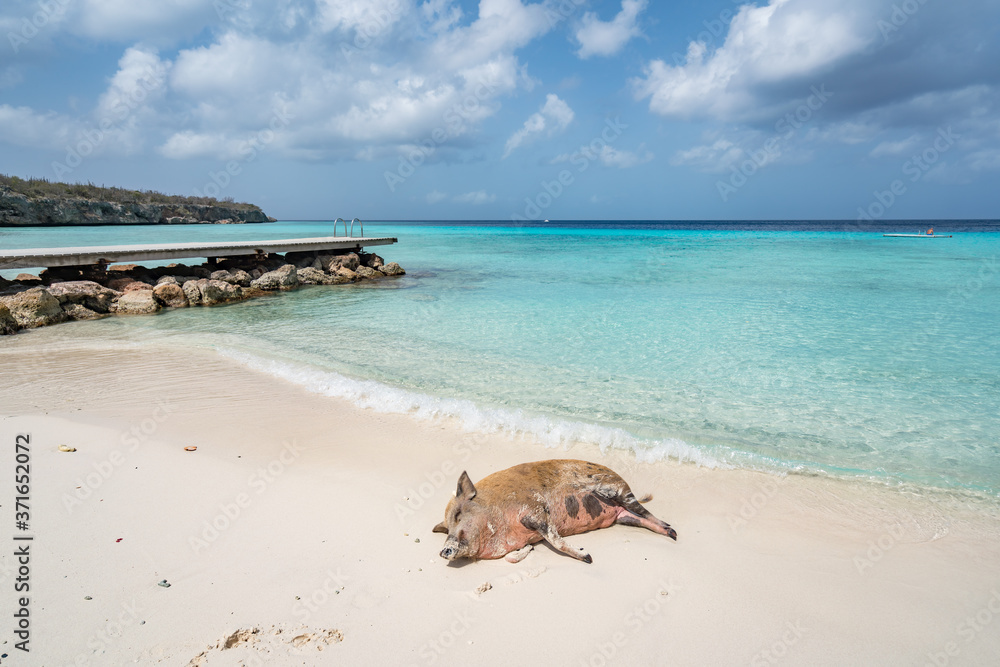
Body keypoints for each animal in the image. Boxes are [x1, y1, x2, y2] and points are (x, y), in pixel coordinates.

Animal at [432, 459, 677, 564]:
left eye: (458, 515)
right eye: (447, 528)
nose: (443, 551)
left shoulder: (535, 510)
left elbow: (556, 540)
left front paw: (588, 557)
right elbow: (513, 557)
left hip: (619, 491)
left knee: (647, 514)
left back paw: (673, 533)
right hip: (622, 516)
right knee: (637, 518)